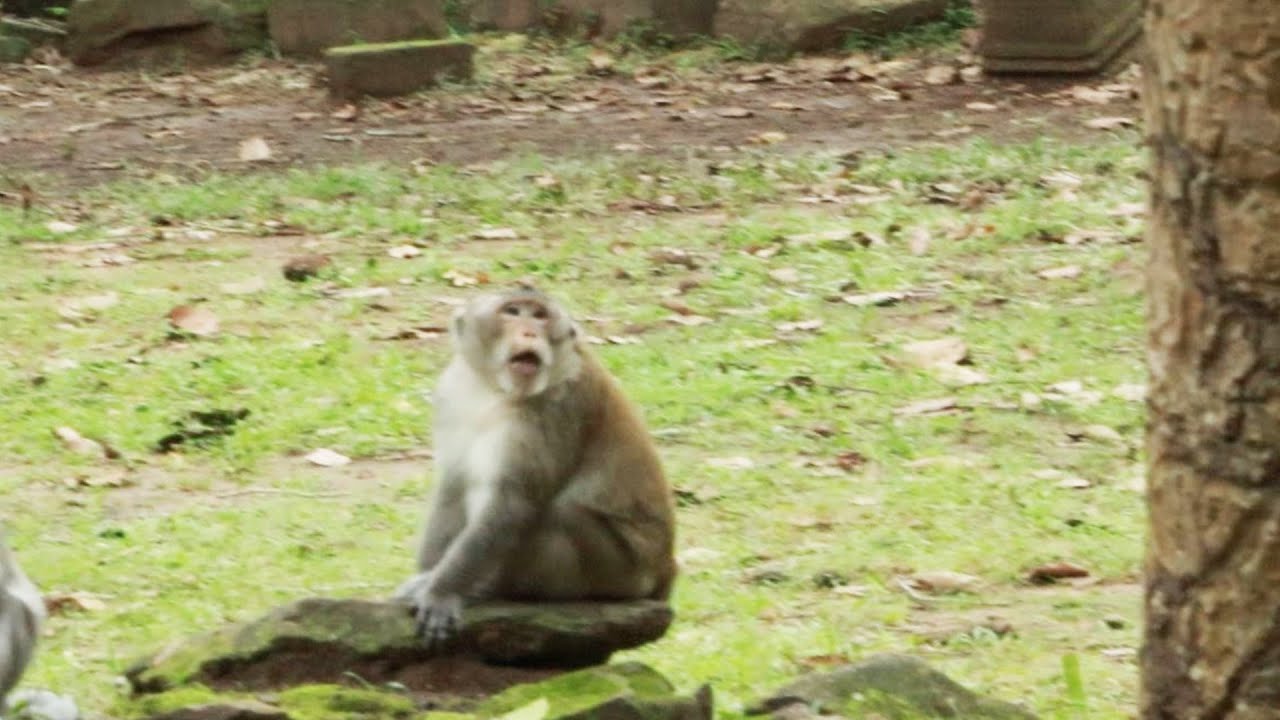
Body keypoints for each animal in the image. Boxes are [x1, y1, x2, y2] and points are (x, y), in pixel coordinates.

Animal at [394, 286, 677, 646]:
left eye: (540, 316)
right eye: (512, 312)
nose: (529, 332)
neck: (494, 389)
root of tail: (666, 570)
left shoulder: (554, 407)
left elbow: (512, 504)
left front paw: (442, 591)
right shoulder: (451, 394)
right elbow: (454, 485)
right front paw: (427, 576)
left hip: (620, 573)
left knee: (559, 515)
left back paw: (490, 588)